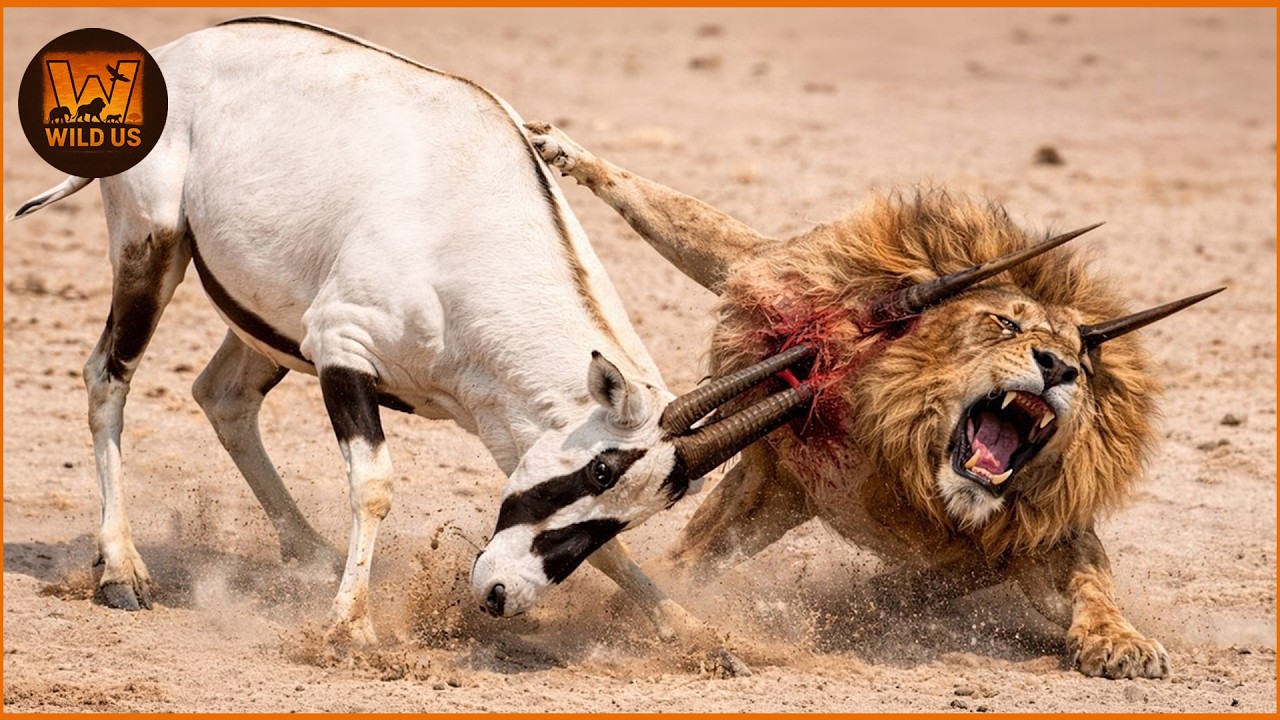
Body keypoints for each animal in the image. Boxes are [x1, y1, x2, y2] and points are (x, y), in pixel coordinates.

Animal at [525, 121, 1221, 680]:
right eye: (1005, 324)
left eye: (1085, 358)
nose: (1058, 367)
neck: (919, 465)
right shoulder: (789, 315)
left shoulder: (1041, 532)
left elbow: (1092, 584)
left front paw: (1122, 643)